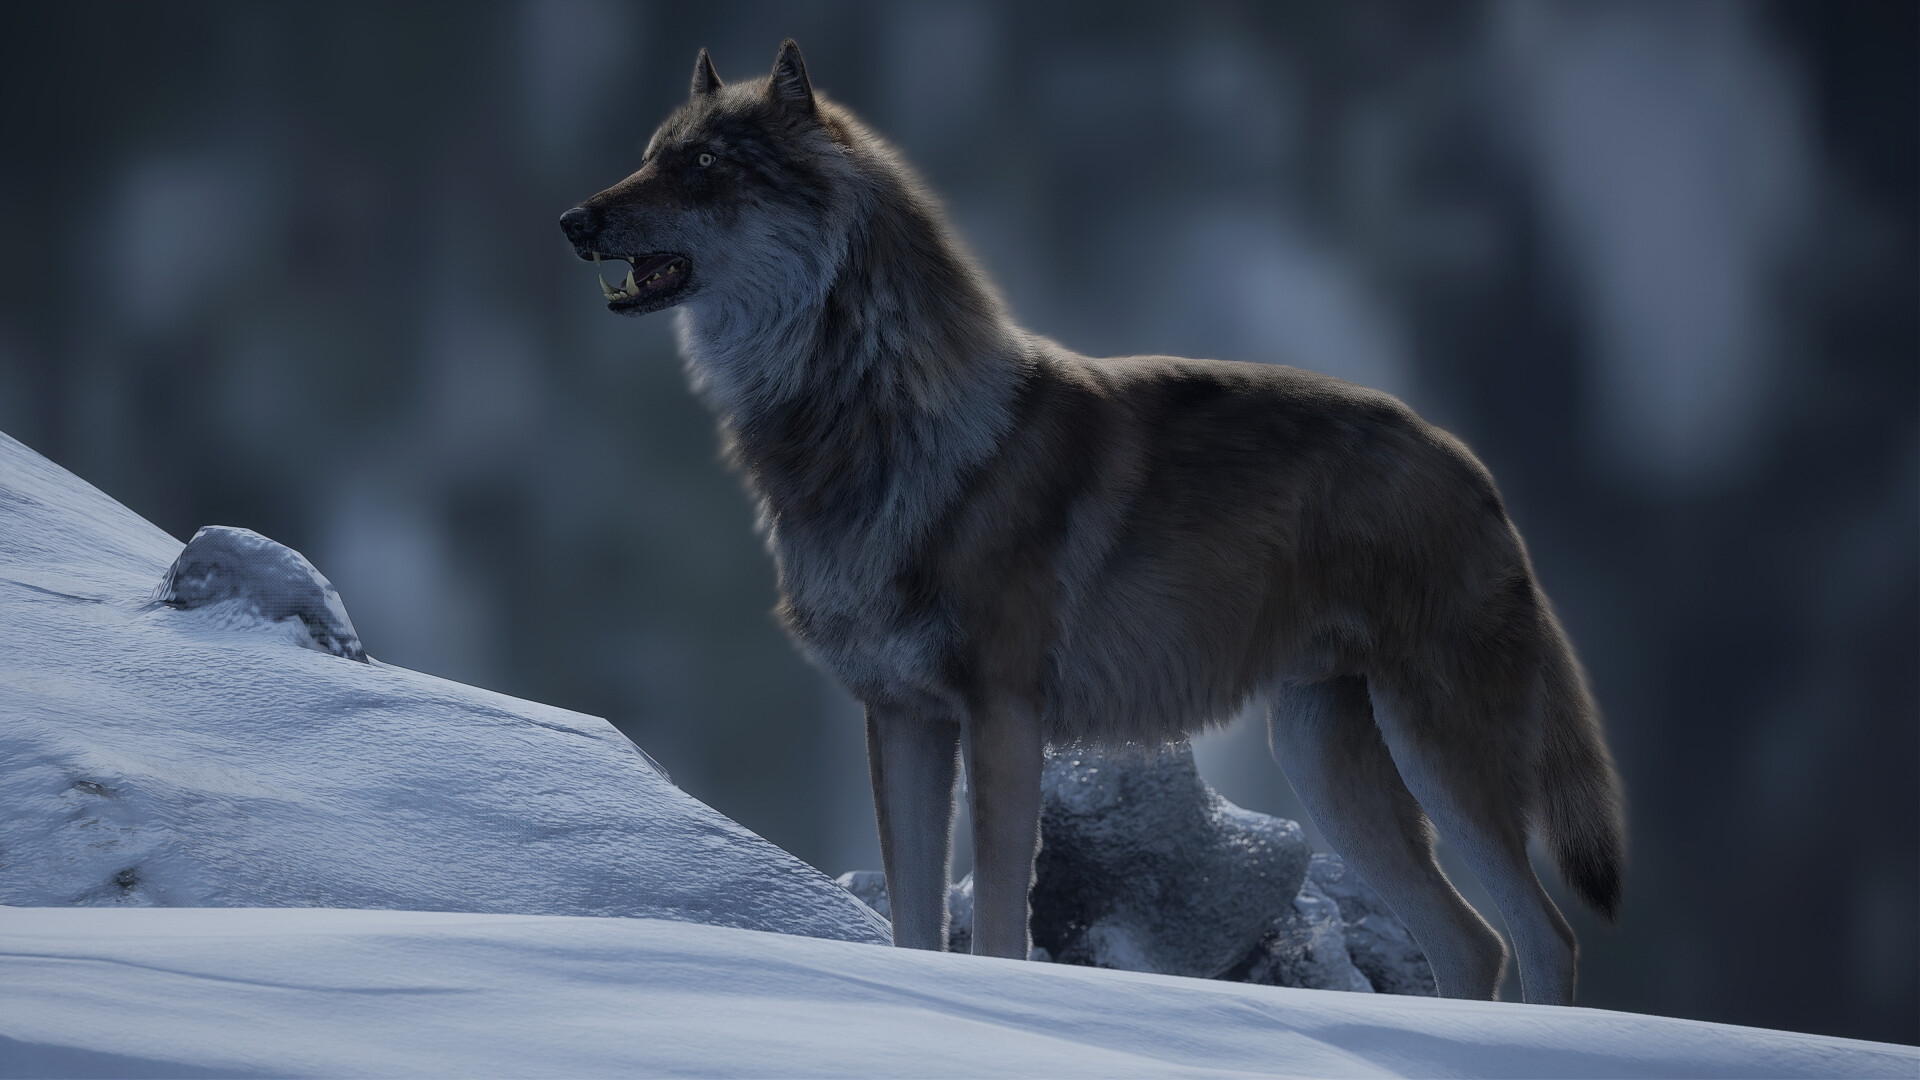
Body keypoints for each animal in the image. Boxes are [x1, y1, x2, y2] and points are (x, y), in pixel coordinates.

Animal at [560, 40, 1625, 1005]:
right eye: (653, 153)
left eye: (703, 166)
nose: (573, 219)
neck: (874, 422)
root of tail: (1472, 466)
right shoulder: (901, 718)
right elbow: (914, 923)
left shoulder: (1003, 715)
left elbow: (998, 921)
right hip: (1330, 770)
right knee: (1476, 946)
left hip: (1433, 756)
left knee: (1547, 936)